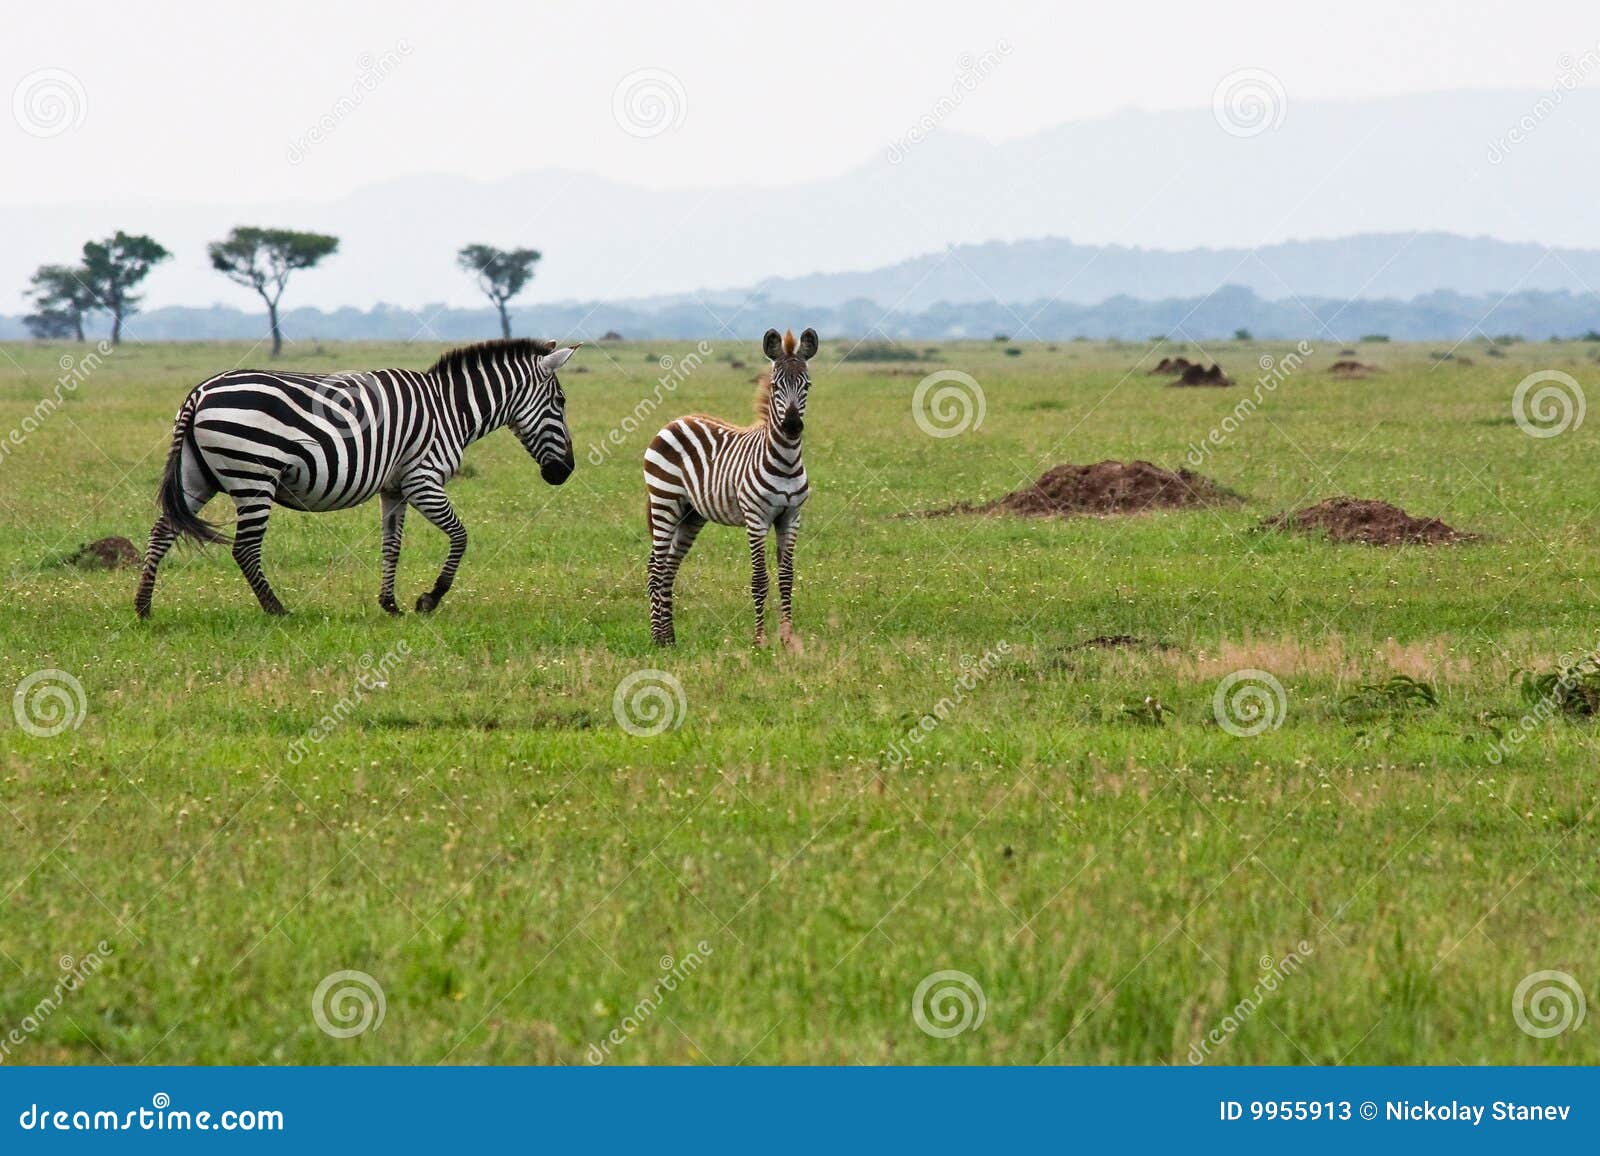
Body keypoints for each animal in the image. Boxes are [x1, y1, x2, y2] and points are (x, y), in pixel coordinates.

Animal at [135, 339, 580, 618]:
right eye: (560, 402)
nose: (565, 472)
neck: (449, 409)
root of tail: (199, 393)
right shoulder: (423, 480)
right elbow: (461, 536)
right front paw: (429, 599)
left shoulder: (395, 489)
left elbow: (392, 546)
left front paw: (390, 605)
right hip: (253, 478)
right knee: (244, 549)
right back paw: (277, 610)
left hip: (198, 476)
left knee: (162, 531)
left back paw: (143, 607)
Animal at [644, 327, 817, 648]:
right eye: (775, 386)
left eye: (807, 385)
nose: (791, 427)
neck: (785, 461)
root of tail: (677, 420)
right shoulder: (756, 518)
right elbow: (760, 579)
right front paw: (760, 640)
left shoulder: (791, 517)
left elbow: (787, 577)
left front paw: (787, 640)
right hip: (664, 502)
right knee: (656, 569)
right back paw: (658, 638)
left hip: (691, 514)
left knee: (669, 569)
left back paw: (670, 638)